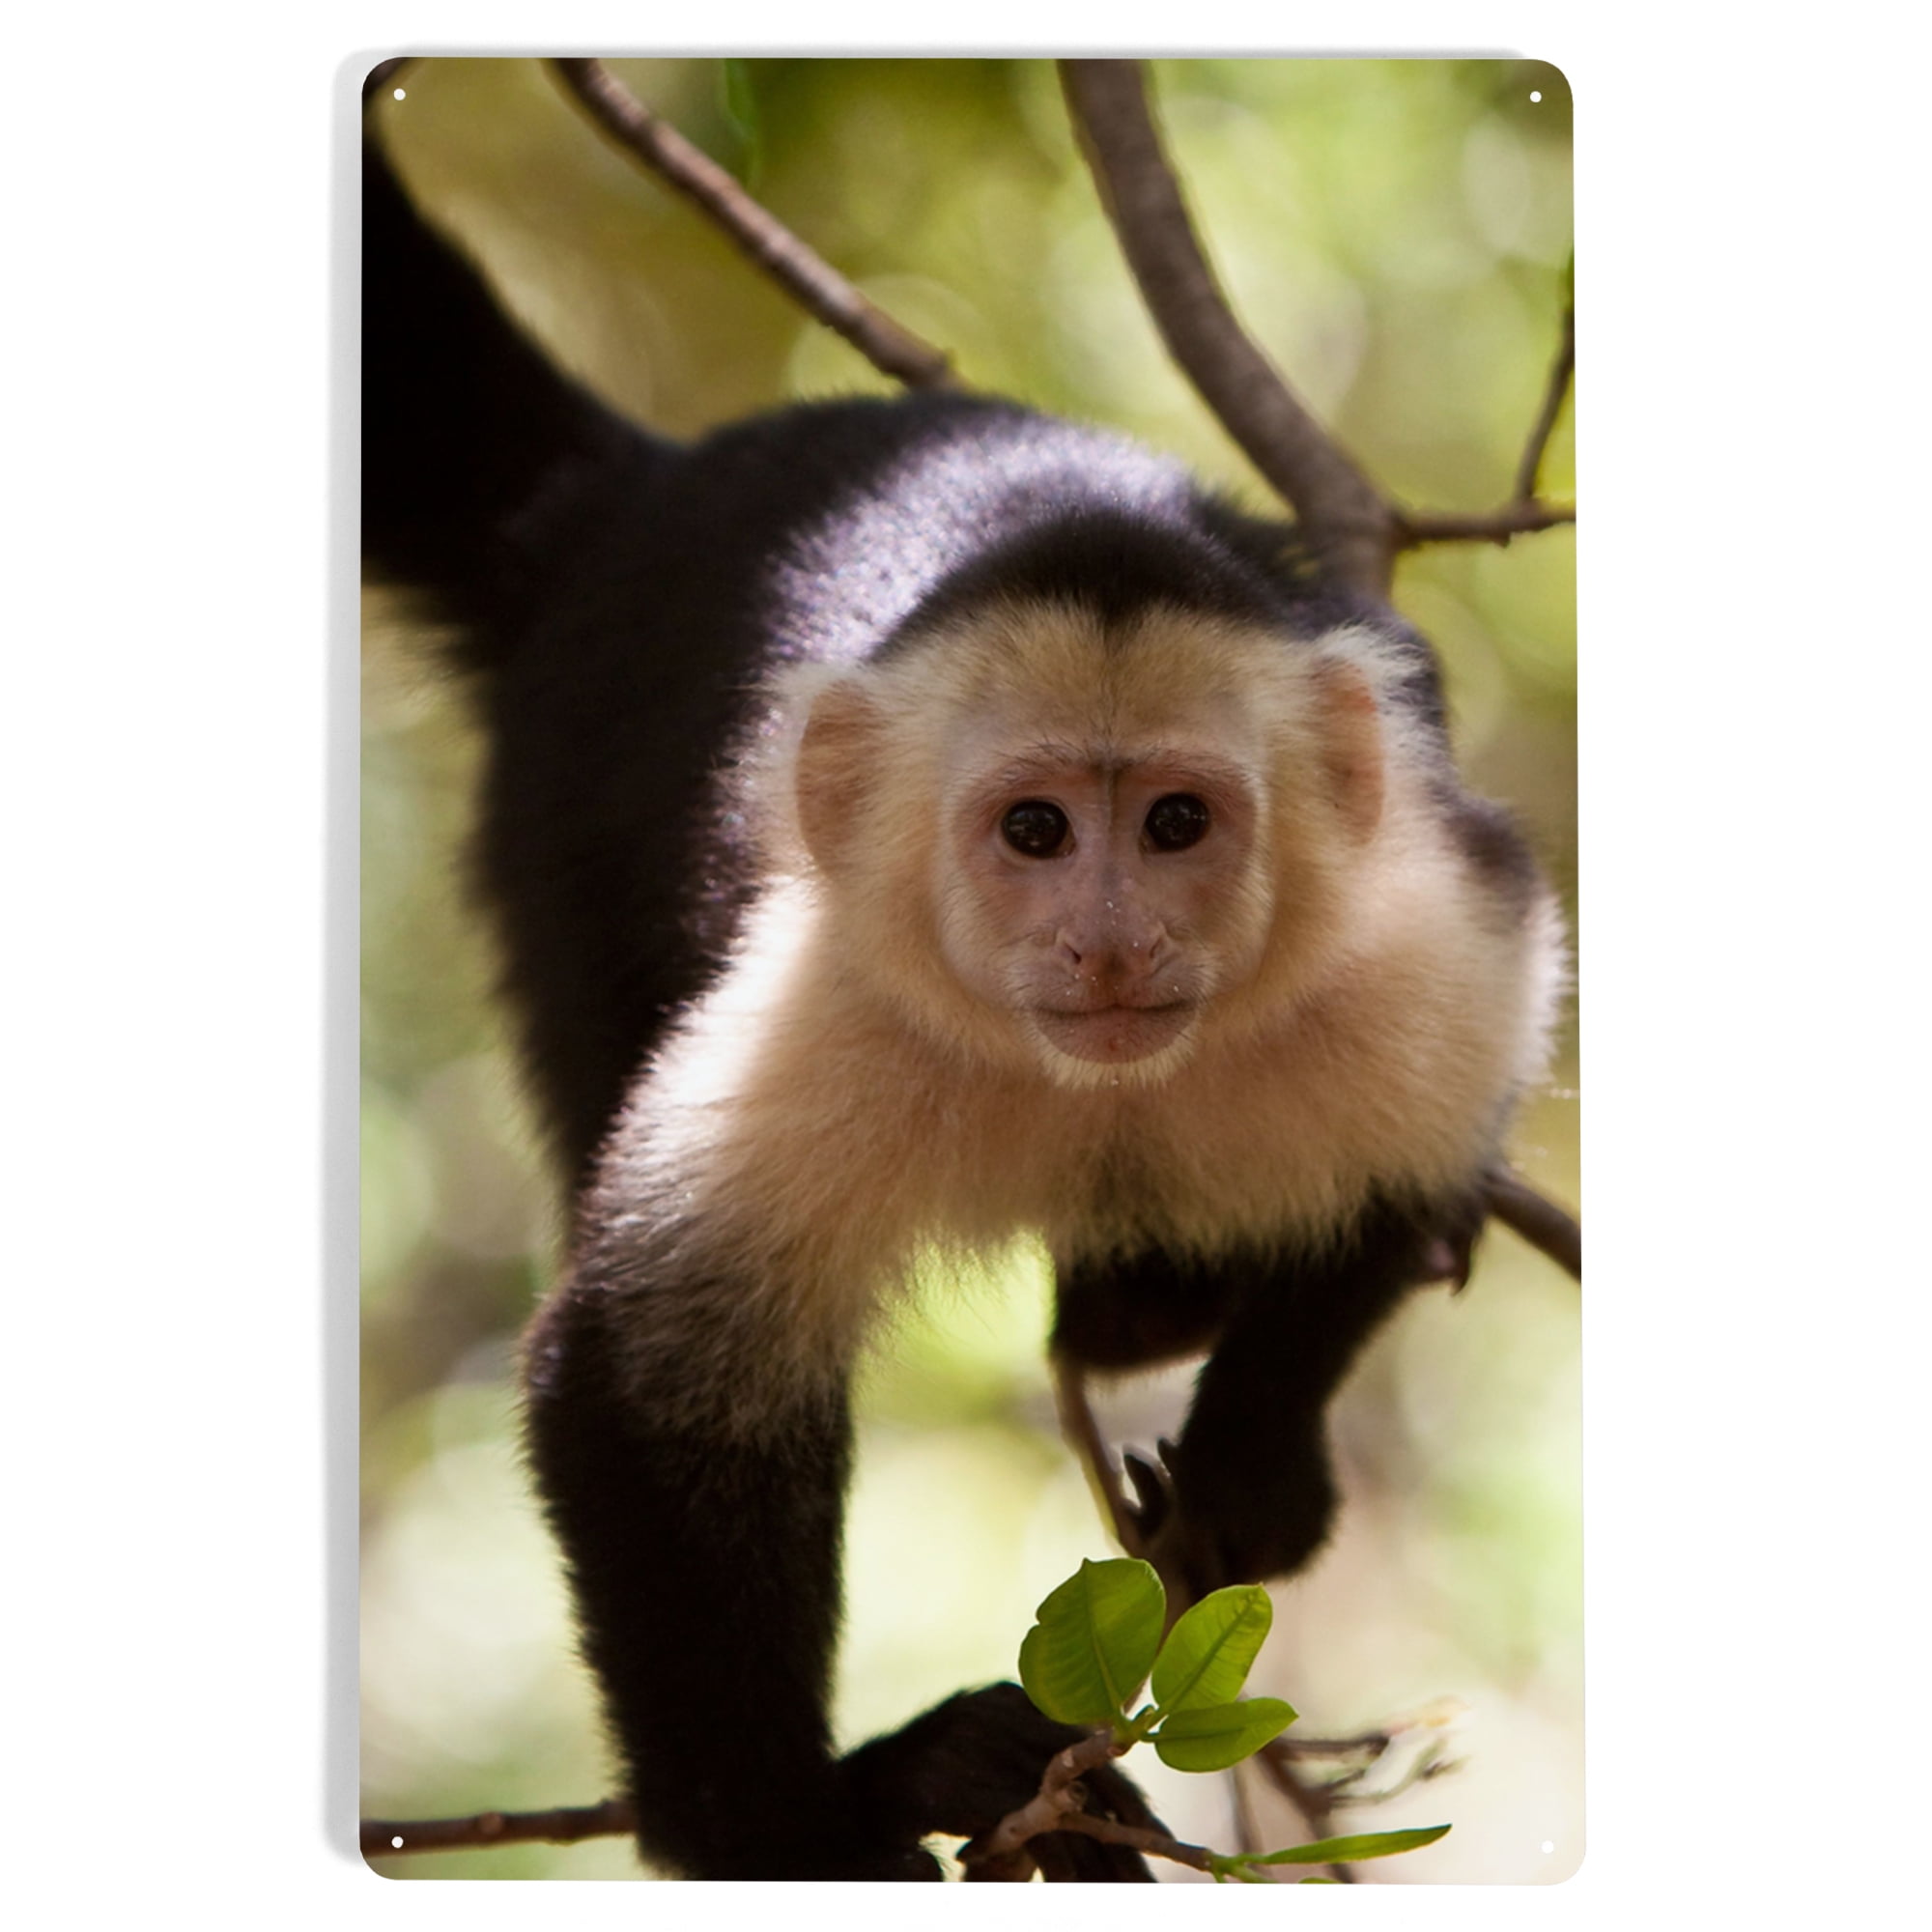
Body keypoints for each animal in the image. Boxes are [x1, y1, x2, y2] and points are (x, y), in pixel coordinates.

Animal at [362, 85, 1565, 1882]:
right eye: (1035, 830)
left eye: (1178, 822)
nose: (1110, 942)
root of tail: (629, 504)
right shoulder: (825, 1002)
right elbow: (651, 1378)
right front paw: (785, 1834)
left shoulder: (1416, 932)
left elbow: (1425, 1146)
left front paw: (1258, 1454)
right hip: (562, 827)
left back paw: (1150, 1302)